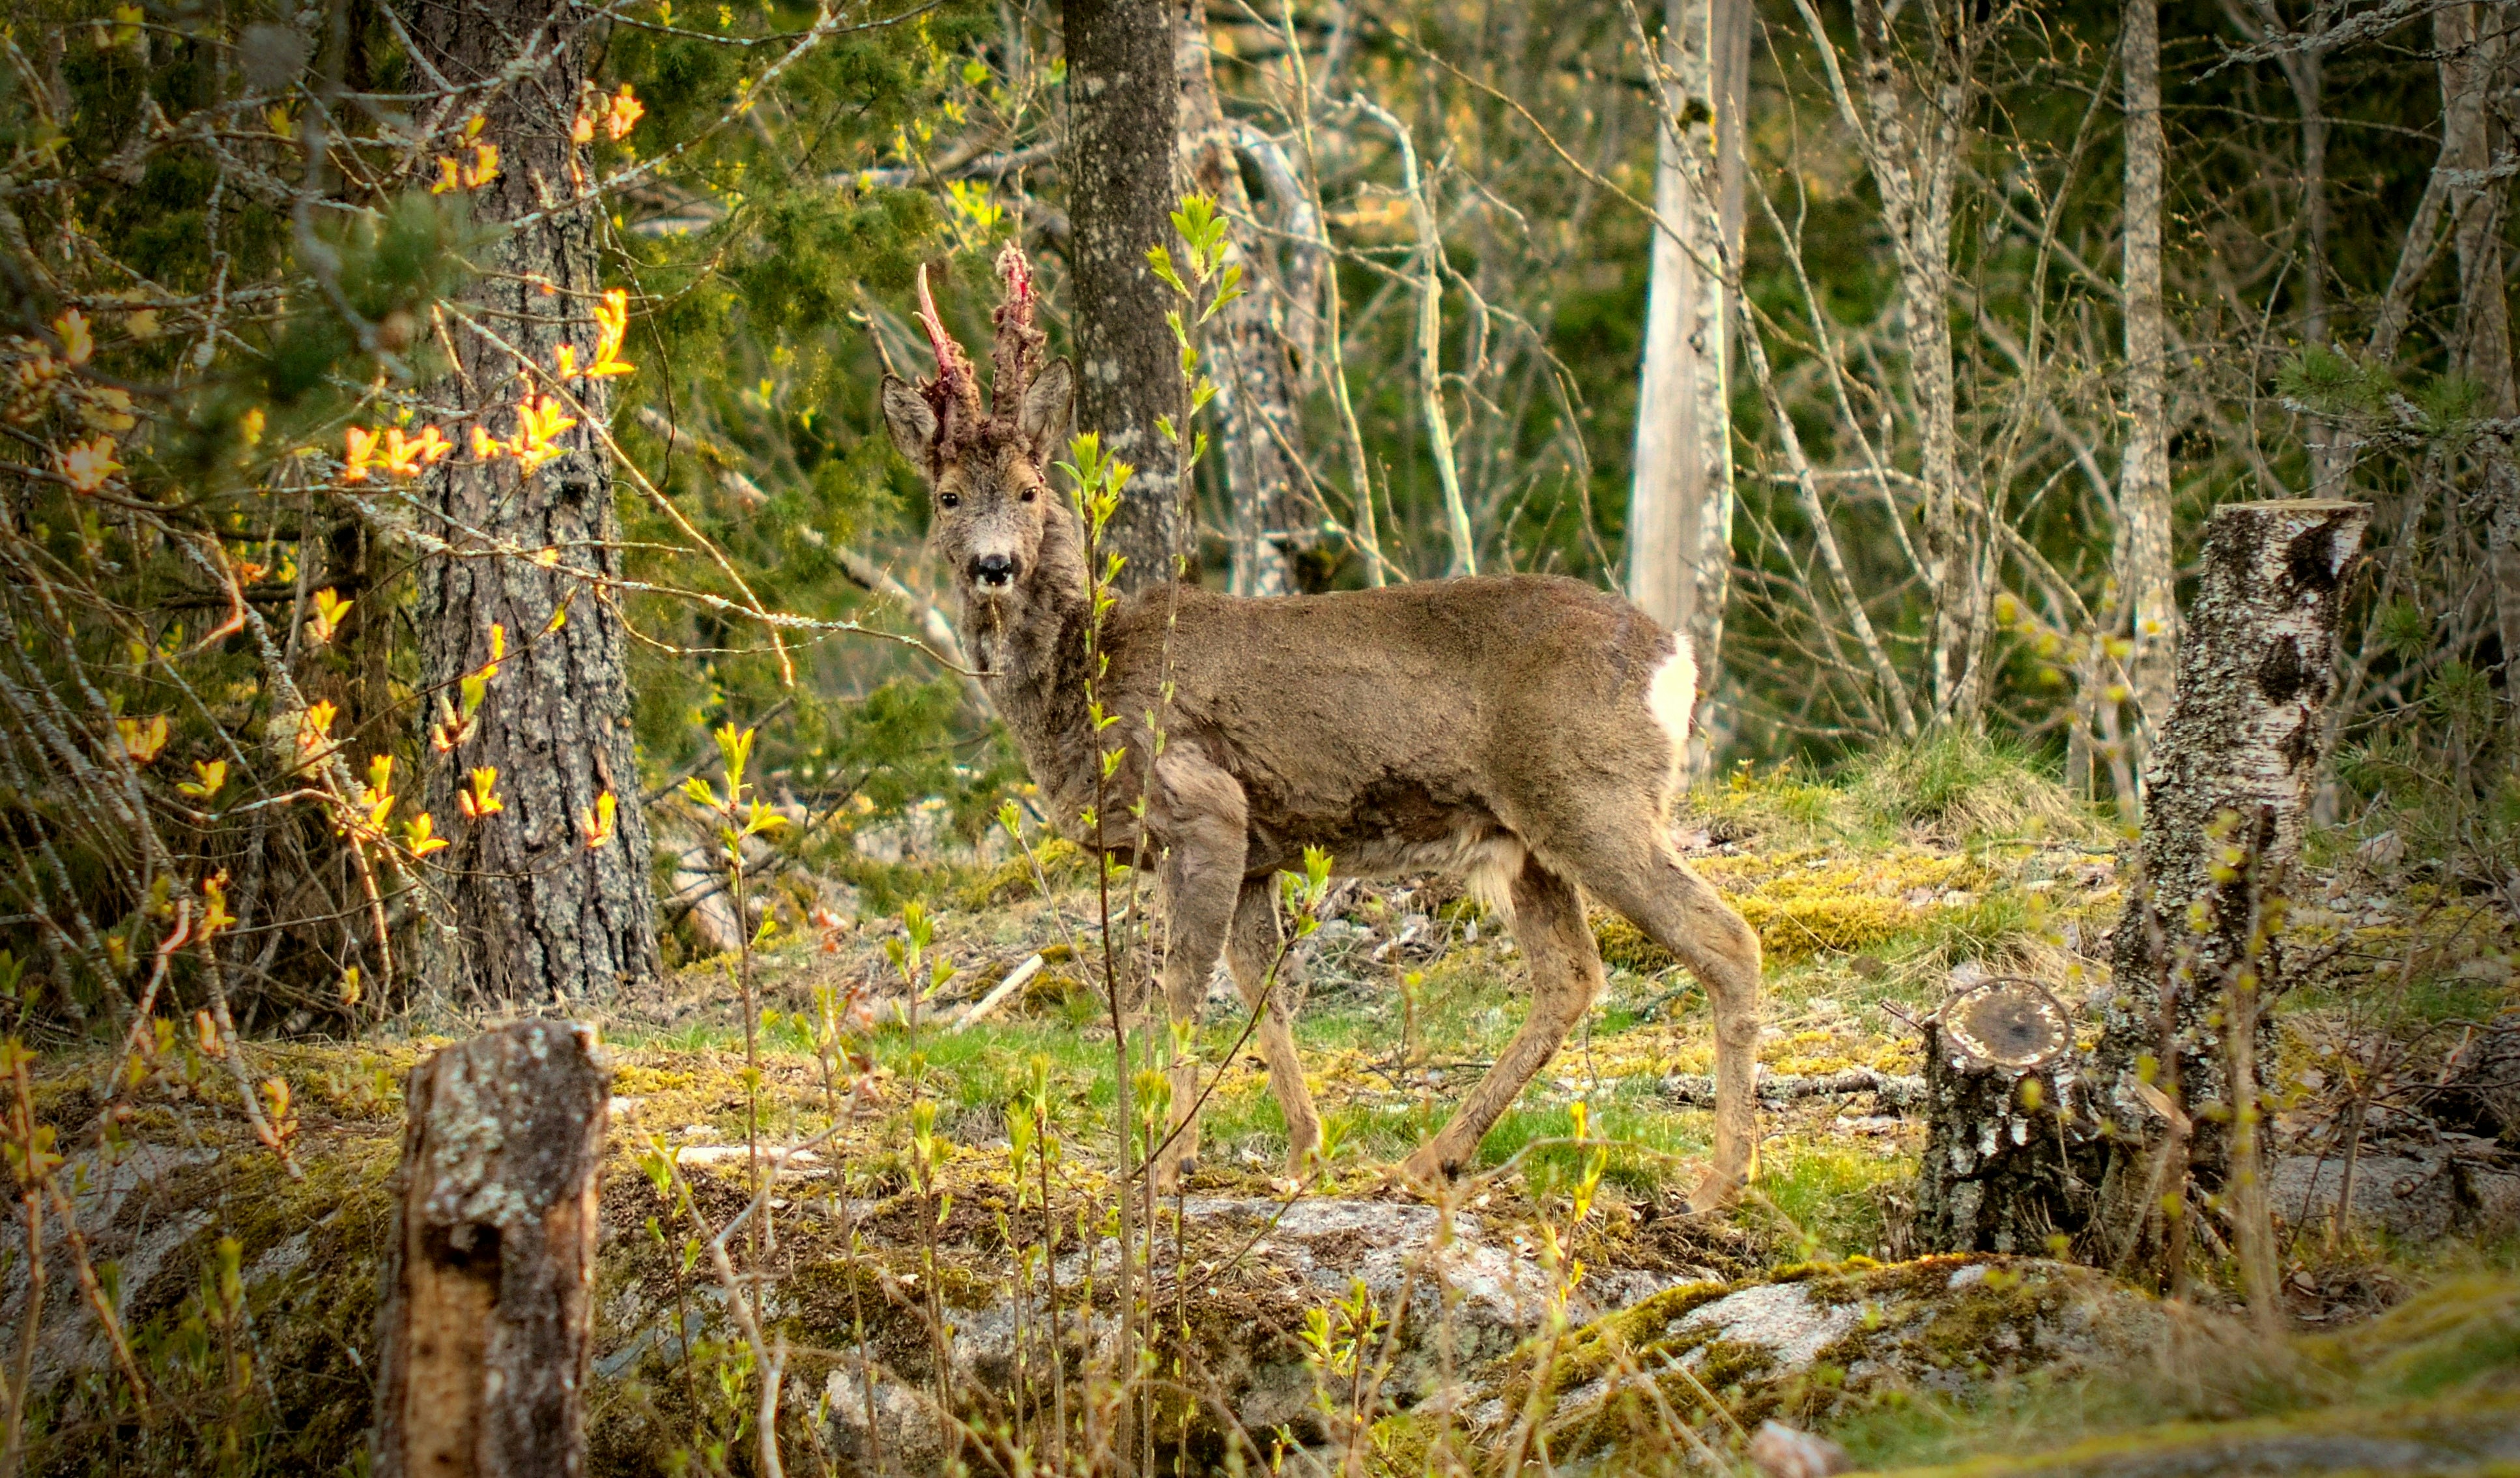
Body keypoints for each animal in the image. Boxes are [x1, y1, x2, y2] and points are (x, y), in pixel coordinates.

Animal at [880, 247, 1761, 1210]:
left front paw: (1163, 1162)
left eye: (1031, 489)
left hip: (1589, 797)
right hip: (1527, 837)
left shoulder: (1204, 804)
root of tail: (1676, 657)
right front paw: (1306, 1151)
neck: (1084, 687)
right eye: (948, 496)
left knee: (1726, 940)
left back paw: (1719, 1180)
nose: (995, 566)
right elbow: (1261, 989)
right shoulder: (1260, 853)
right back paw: (1430, 1159)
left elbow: (1180, 987)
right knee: (1570, 977)